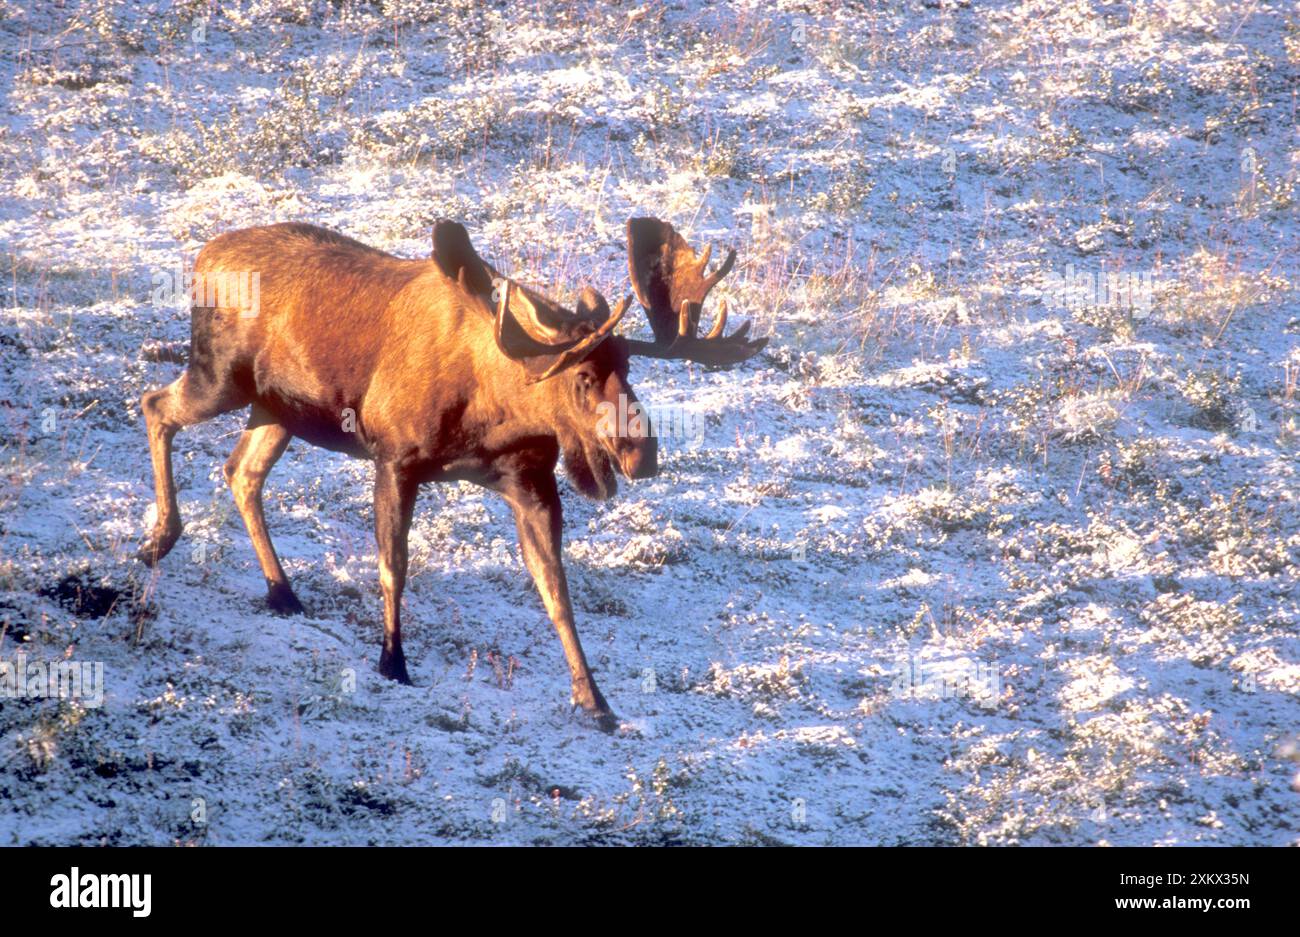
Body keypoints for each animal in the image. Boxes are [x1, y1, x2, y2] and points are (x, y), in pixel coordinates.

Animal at [136, 217, 766, 731]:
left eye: (630, 369)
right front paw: (392, 660)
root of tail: (204, 255)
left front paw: (595, 700)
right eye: (584, 378)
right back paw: (159, 539)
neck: (494, 409)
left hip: (276, 409)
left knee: (240, 471)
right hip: (220, 377)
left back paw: (281, 590)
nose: (643, 454)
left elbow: (556, 591)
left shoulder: (531, 483)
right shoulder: (395, 459)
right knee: (155, 405)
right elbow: (393, 567)